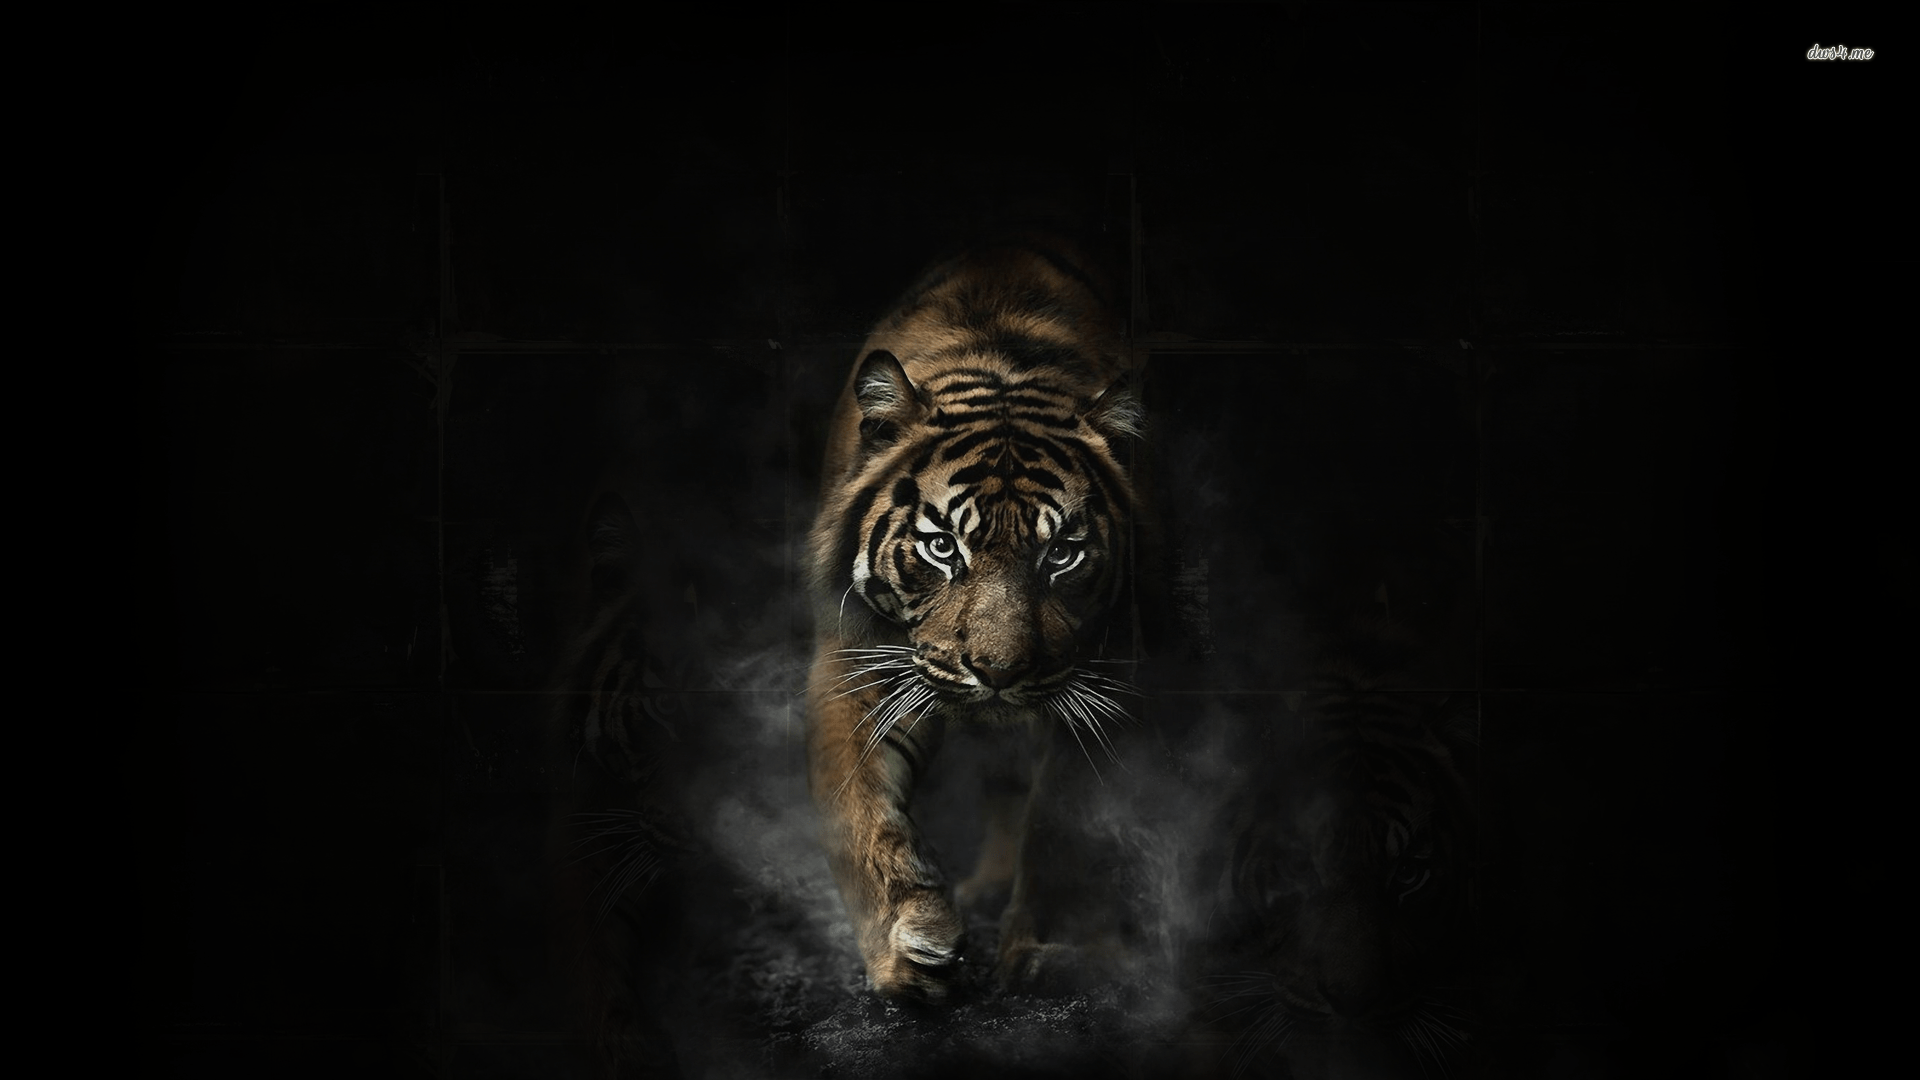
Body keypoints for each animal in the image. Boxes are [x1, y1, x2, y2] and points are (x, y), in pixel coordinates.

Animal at [803, 236, 1147, 1002]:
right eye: (942, 547)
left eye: (1062, 553)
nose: (997, 670)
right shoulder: (857, 657)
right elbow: (858, 808)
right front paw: (908, 946)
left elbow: (1060, 822)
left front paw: (1044, 951)